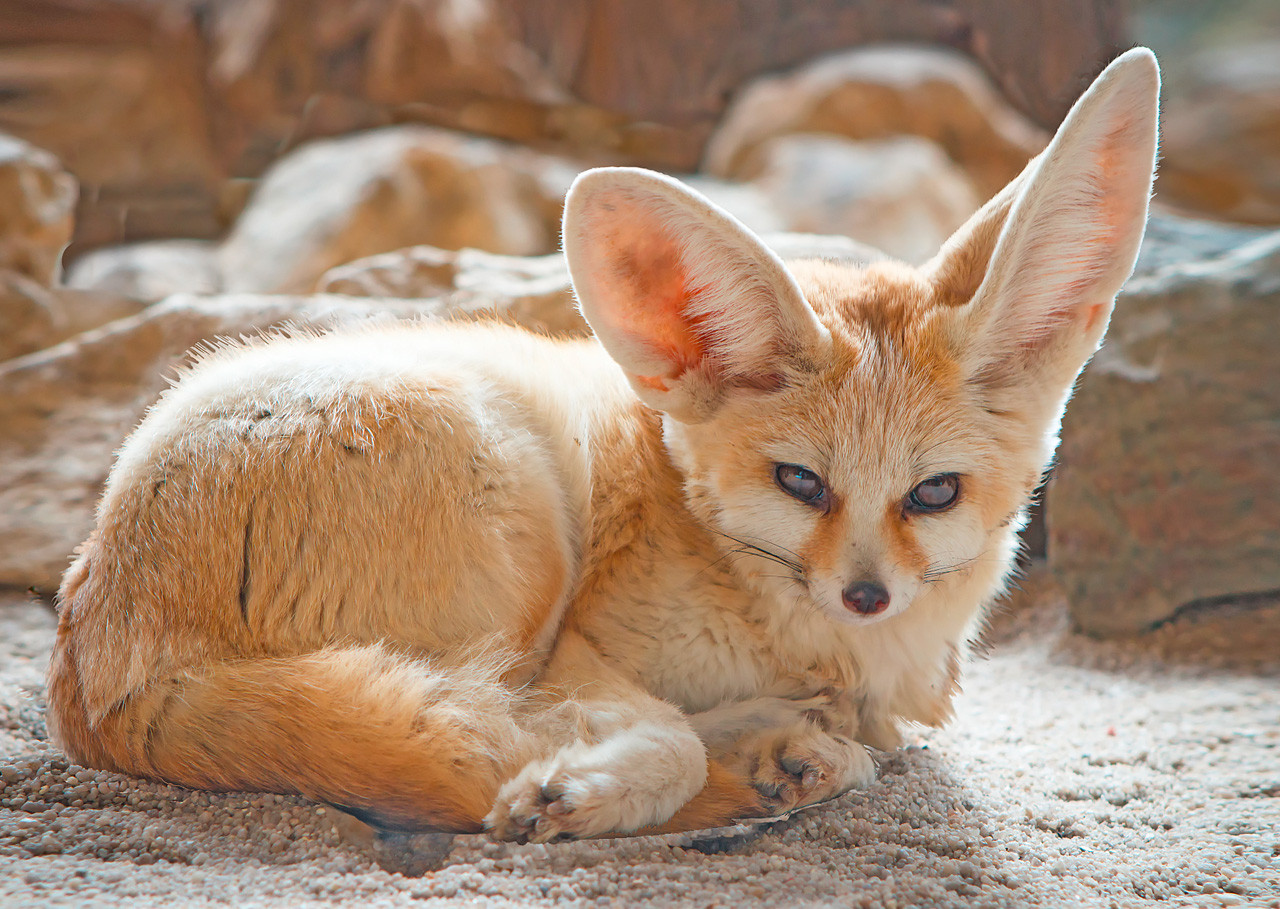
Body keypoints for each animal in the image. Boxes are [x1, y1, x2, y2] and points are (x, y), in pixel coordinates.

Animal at [44, 49, 1159, 842]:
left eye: (932, 494)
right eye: (800, 482)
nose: (865, 595)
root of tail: (103, 677)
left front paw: (787, 745)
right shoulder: (574, 650)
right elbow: (660, 736)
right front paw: (602, 786)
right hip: (523, 536)